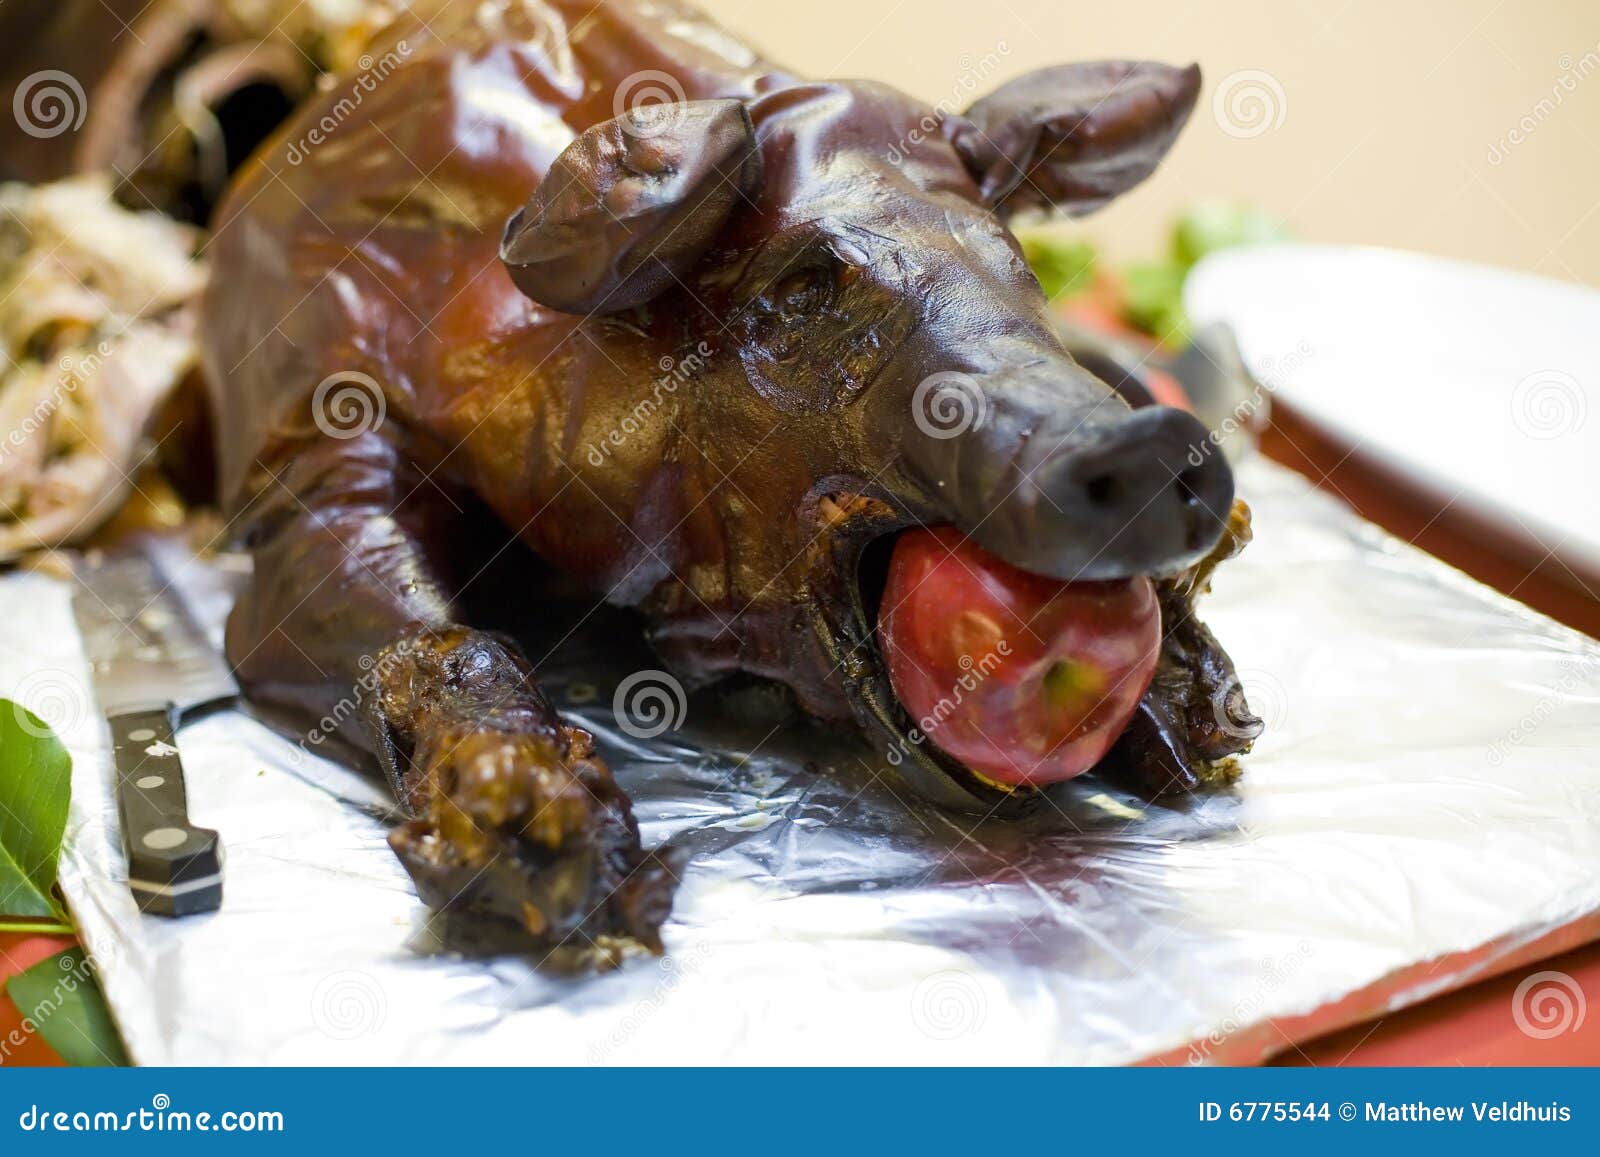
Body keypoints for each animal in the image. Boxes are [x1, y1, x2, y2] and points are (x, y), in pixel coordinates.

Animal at [200, 0, 1251, 960]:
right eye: (806, 288)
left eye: (1018, 263)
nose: (1153, 443)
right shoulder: (312, 438)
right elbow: (406, 620)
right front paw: (571, 856)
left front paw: (1203, 716)